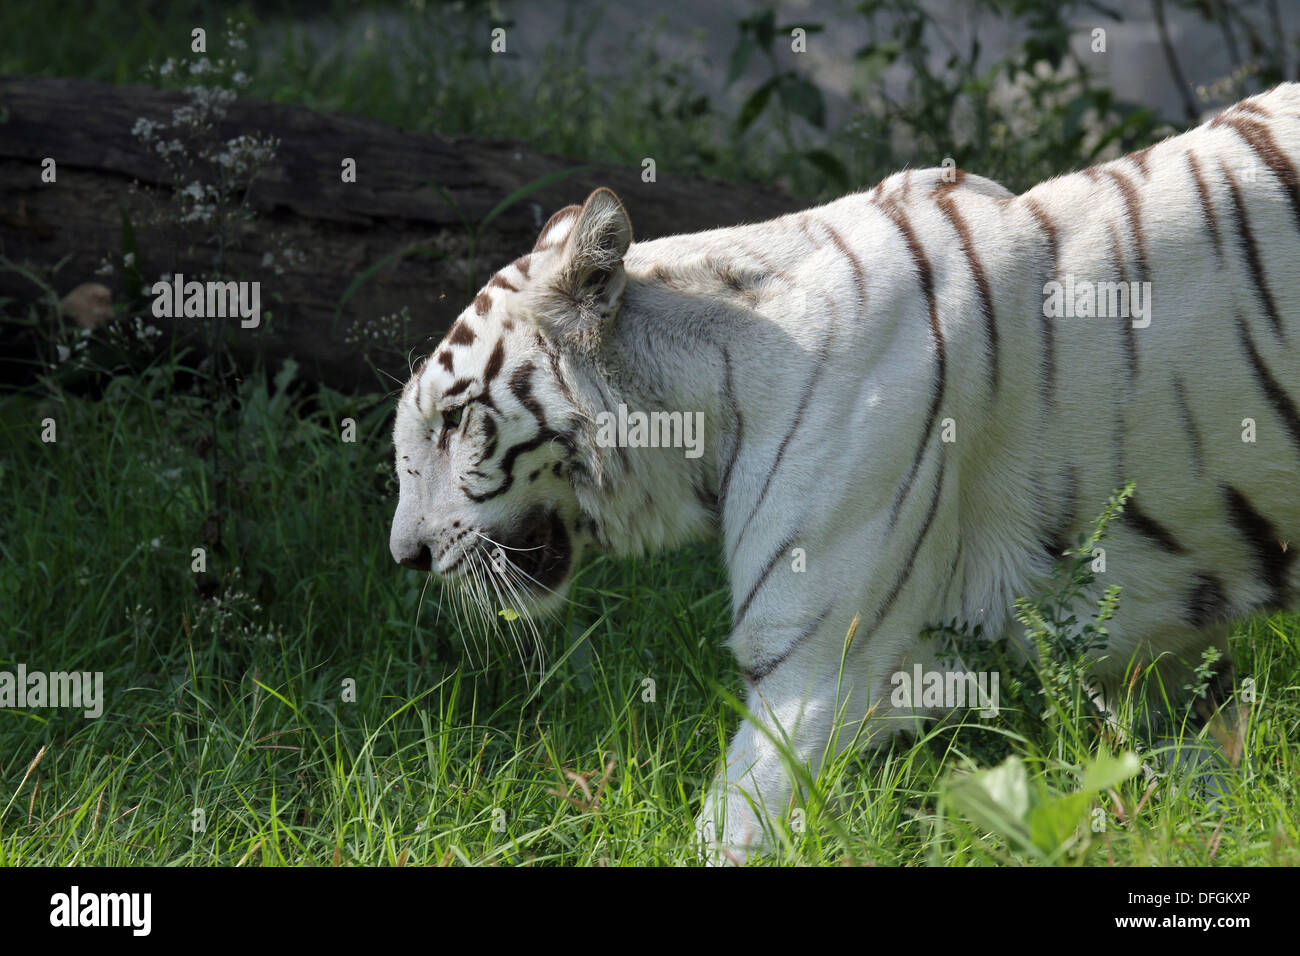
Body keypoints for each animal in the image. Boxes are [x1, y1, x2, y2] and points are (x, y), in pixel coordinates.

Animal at [390, 83, 1300, 861]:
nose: (406, 557)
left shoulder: (816, 662)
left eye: (455, 421)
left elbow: (734, 824)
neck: (707, 399)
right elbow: (1193, 763)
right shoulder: (1156, 646)